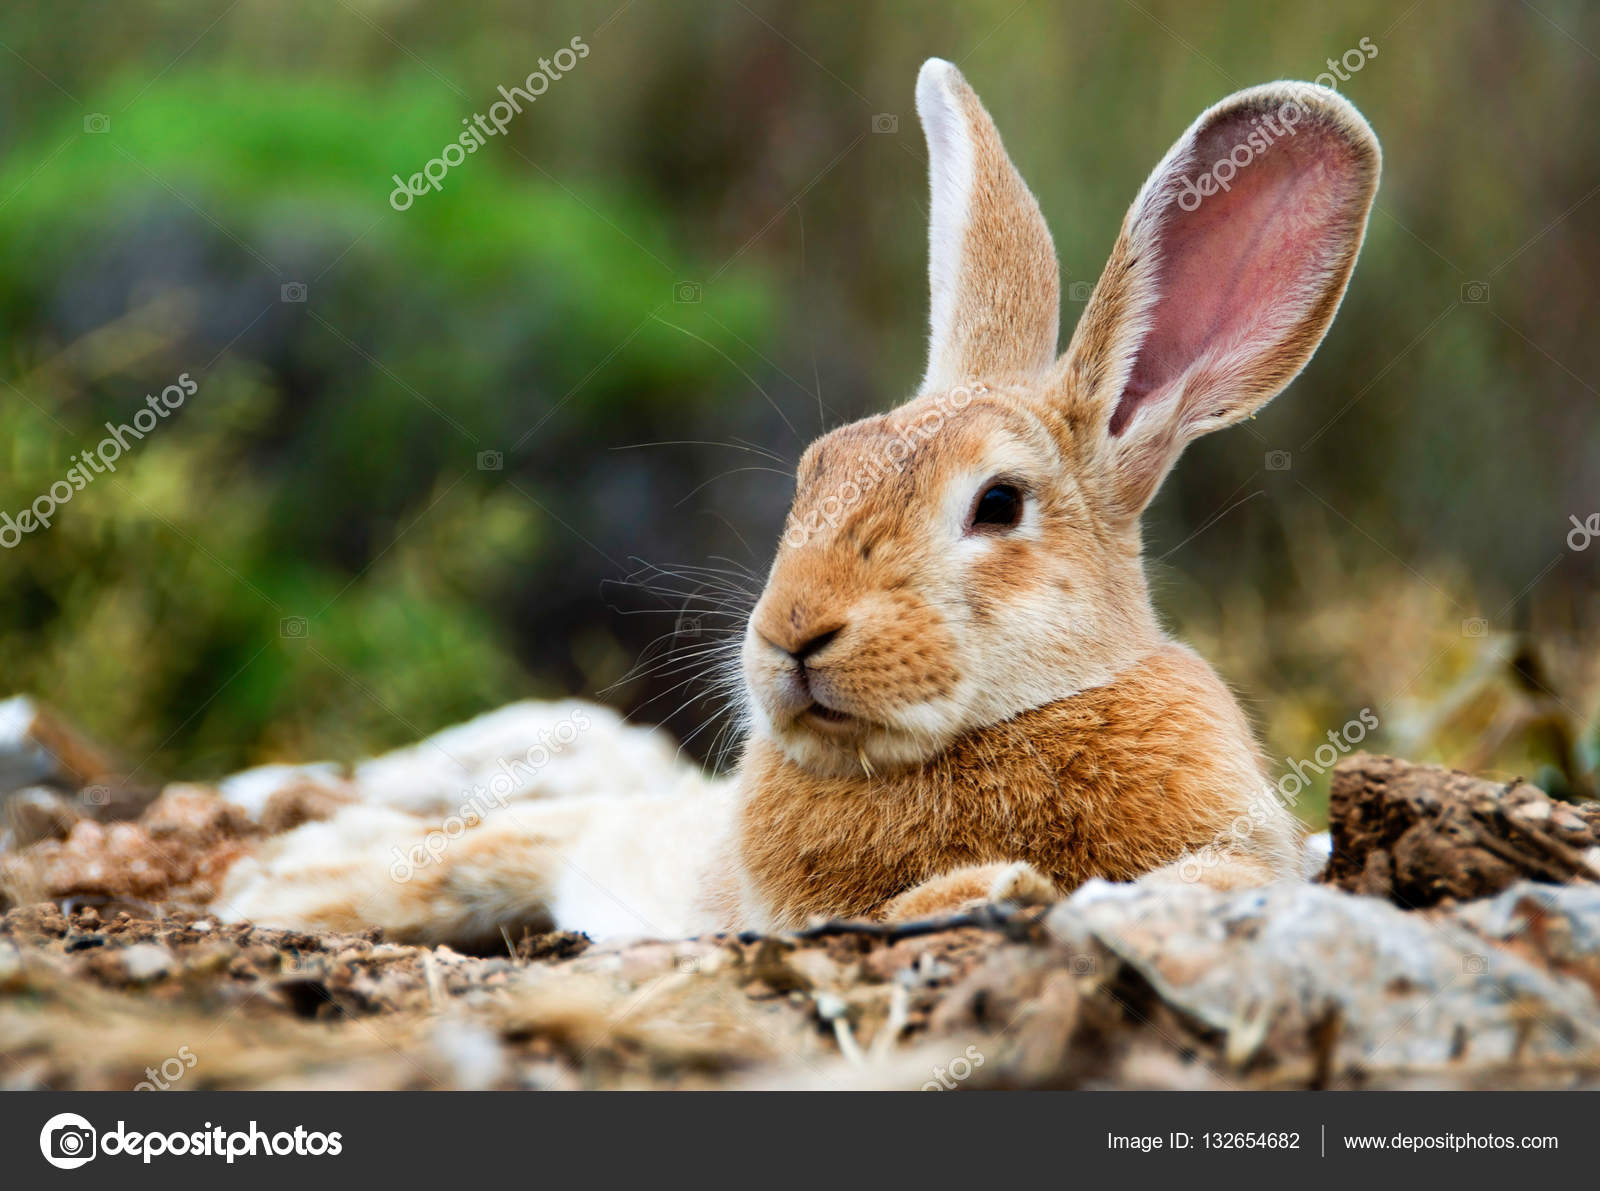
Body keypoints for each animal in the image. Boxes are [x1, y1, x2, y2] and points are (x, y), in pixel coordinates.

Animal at [215, 58, 1380, 944]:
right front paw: (985, 886)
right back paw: (278, 881)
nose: (793, 634)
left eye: (999, 504)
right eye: (815, 472)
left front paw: (994, 887)